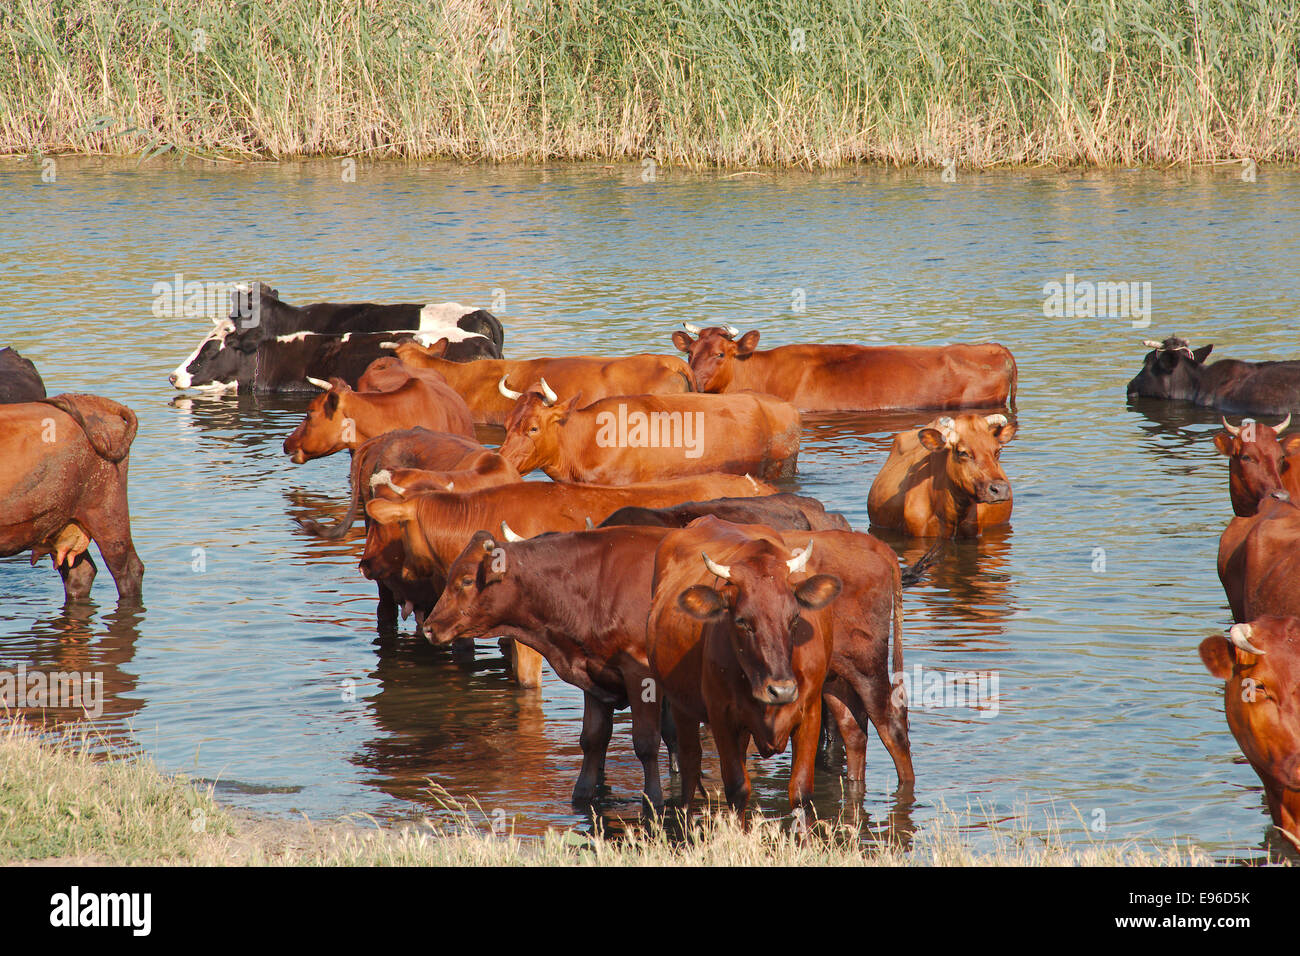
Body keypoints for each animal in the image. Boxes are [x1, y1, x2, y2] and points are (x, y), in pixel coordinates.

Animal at [423, 525, 675, 808]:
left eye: (466, 580)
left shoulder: (641, 675)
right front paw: (581, 796)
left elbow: (646, 743)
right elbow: (592, 739)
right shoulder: (593, 673)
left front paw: (653, 801)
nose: (429, 627)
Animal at [647, 517, 842, 810]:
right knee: (690, 766)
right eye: (742, 621)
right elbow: (737, 788)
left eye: (795, 617)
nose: (781, 691)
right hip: (682, 706)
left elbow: (801, 791)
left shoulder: (810, 711)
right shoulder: (721, 716)